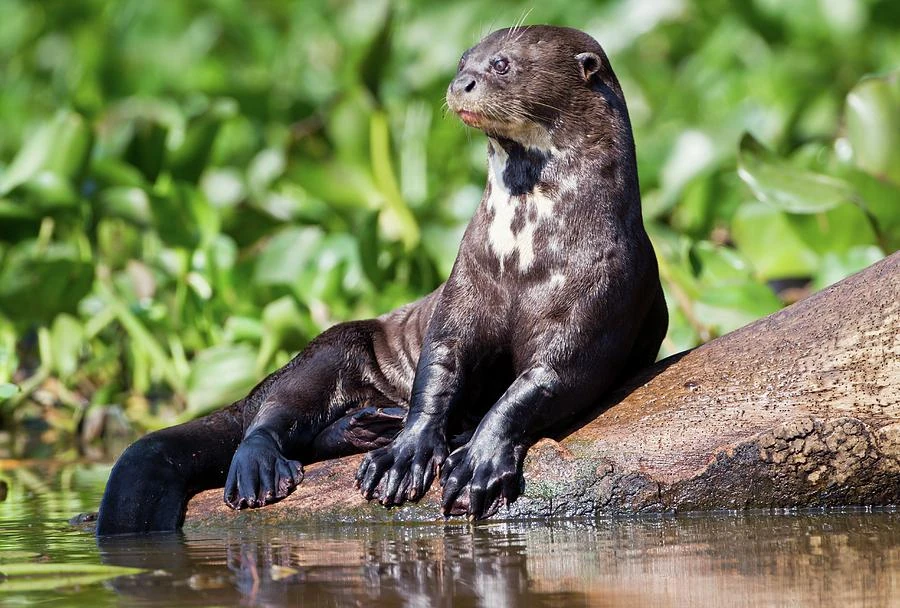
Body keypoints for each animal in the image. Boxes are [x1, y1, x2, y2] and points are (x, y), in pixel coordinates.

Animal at [96, 25, 667, 535]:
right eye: (463, 60)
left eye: (502, 64)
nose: (461, 83)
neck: (524, 256)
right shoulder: (464, 284)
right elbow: (440, 362)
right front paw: (407, 452)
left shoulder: (601, 302)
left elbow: (543, 381)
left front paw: (479, 457)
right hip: (331, 346)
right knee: (272, 415)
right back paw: (273, 462)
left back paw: (376, 425)